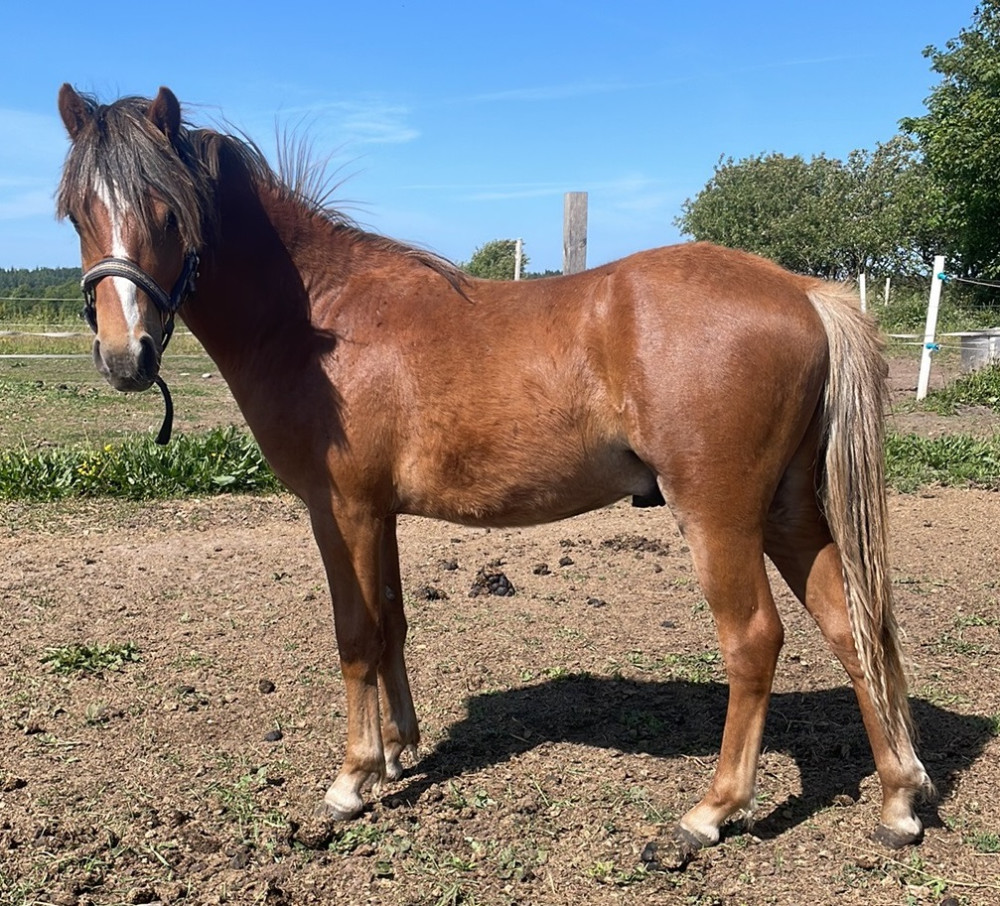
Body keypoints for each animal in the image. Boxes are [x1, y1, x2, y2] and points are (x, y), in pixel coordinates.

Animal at [56, 84, 931, 864]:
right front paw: (400, 751)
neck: (321, 322)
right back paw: (897, 800)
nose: (126, 358)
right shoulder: (381, 514)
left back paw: (708, 814)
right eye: (77, 212)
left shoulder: (341, 509)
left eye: (168, 211)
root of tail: (802, 291)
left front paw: (352, 779)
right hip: (787, 511)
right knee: (851, 625)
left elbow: (355, 633)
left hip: (720, 516)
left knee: (753, 641)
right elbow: (393, 622)